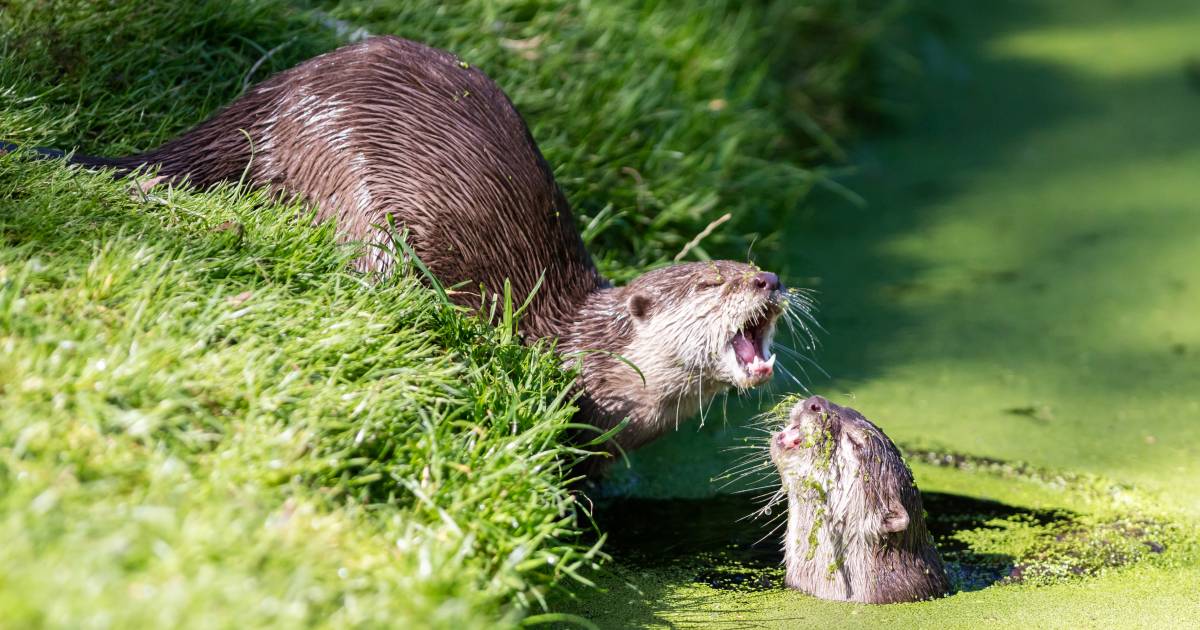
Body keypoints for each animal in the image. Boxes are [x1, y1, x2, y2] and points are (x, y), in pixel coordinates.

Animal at [5, 36, 805, 467]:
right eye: (715, 283)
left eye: (749, 266)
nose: (770, 279)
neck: (580, 357)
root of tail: (273, 97)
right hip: (346, 182)